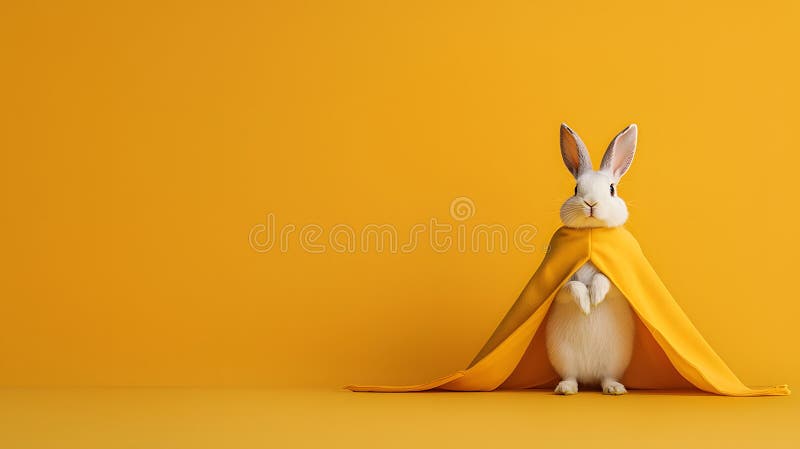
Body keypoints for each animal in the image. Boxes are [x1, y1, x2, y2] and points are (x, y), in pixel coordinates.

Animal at [544, 123, 638, 395]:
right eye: (576, 189)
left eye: (611, 189)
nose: (591, 203)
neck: (591, 233)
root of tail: (589, 378)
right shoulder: (561, 289)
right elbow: (573, 286)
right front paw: (586, 305)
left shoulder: (617, 284)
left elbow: (604, 280)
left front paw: (595, 298)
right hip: (563, 357)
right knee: (571, 377)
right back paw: (566, 389)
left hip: (614, 361)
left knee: (606, 378)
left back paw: (615, 389)